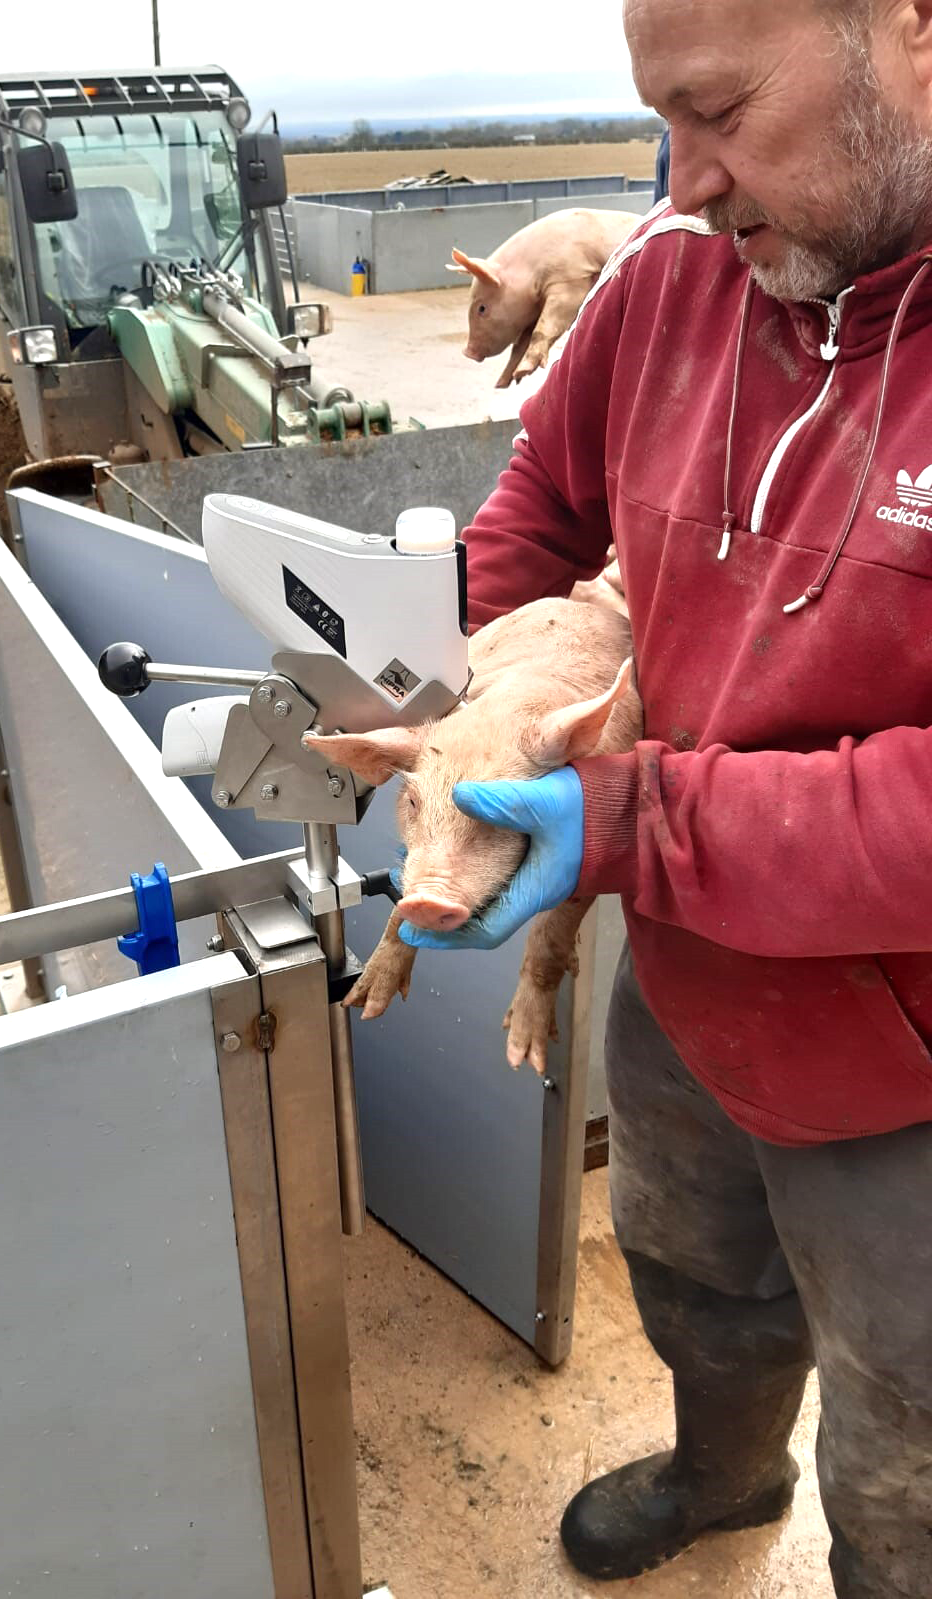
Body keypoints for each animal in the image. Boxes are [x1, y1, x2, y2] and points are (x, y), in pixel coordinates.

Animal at [308, 598, 642, 1074]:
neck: (513, 703)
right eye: (413, 802)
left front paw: (524, 1057)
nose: (427, 900)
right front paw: (364, 1005)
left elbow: (550, 936)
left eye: (506, 808)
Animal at [447, 208, 641, 387]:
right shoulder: (532, 308)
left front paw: (522, 370)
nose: (467, 352)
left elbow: (542, 328)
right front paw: (503, 382)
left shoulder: (570, 281)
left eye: (482, 308)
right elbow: (520, 343)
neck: (532, 267)